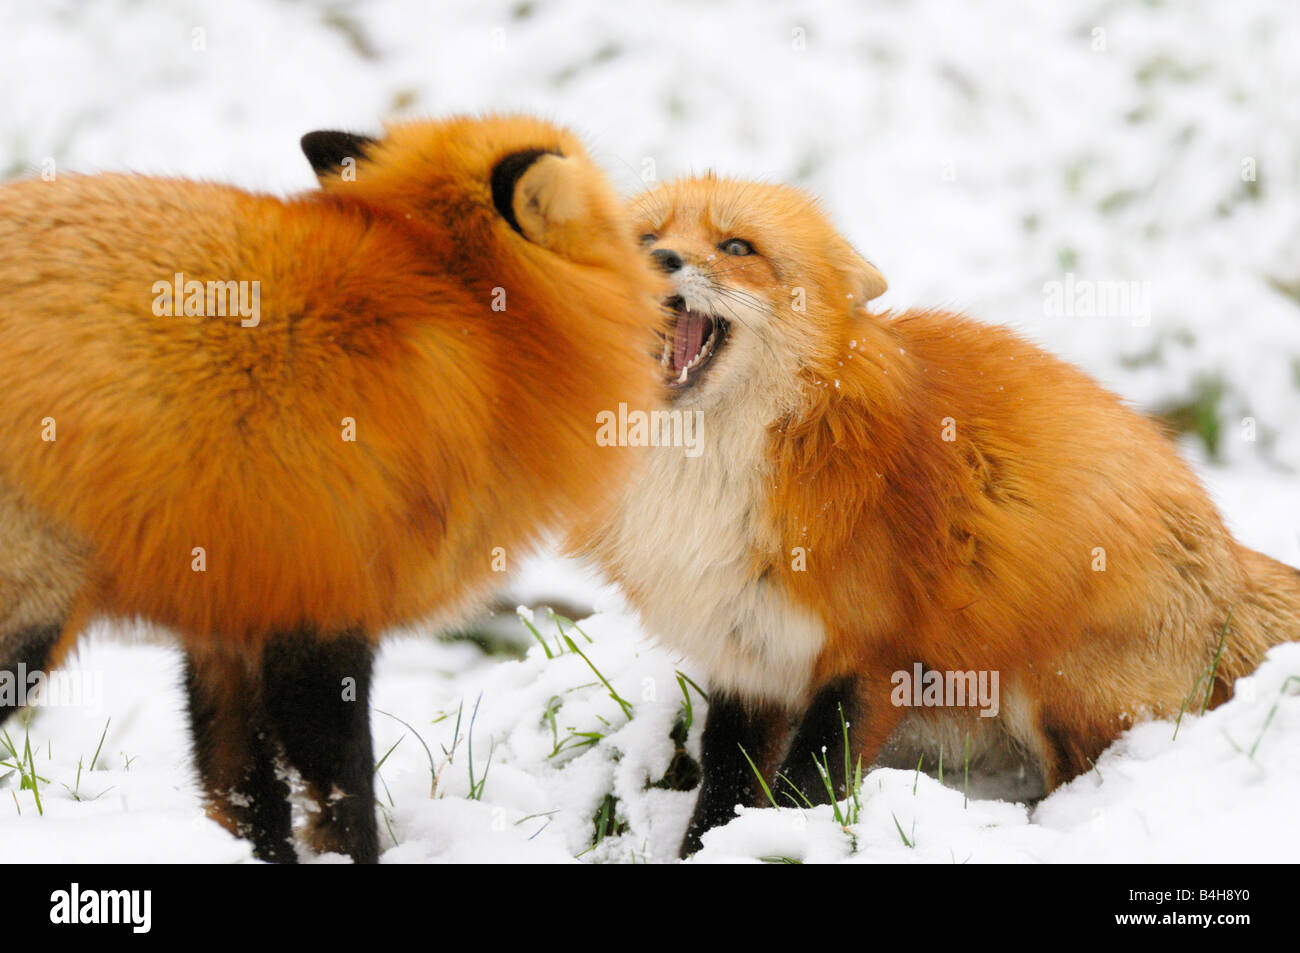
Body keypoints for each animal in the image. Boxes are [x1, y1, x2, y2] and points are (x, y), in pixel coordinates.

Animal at [0, 115, 666, 863]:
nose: (667, 253)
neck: (476, 315)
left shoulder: (237, 611)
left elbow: (240, 788)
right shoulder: (327, 605)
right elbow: (342, 789)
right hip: (31, 618)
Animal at [568, 174, 1300, 857]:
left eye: (738, 248)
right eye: (645, 237)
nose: (660, 258)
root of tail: (1232, 562)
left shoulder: (875, 651)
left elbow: (810, 784)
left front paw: (787, 838)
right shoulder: (748, 651)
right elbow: (725, 782)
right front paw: (708, 848)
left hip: (1055, 684)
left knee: (1089, 775)